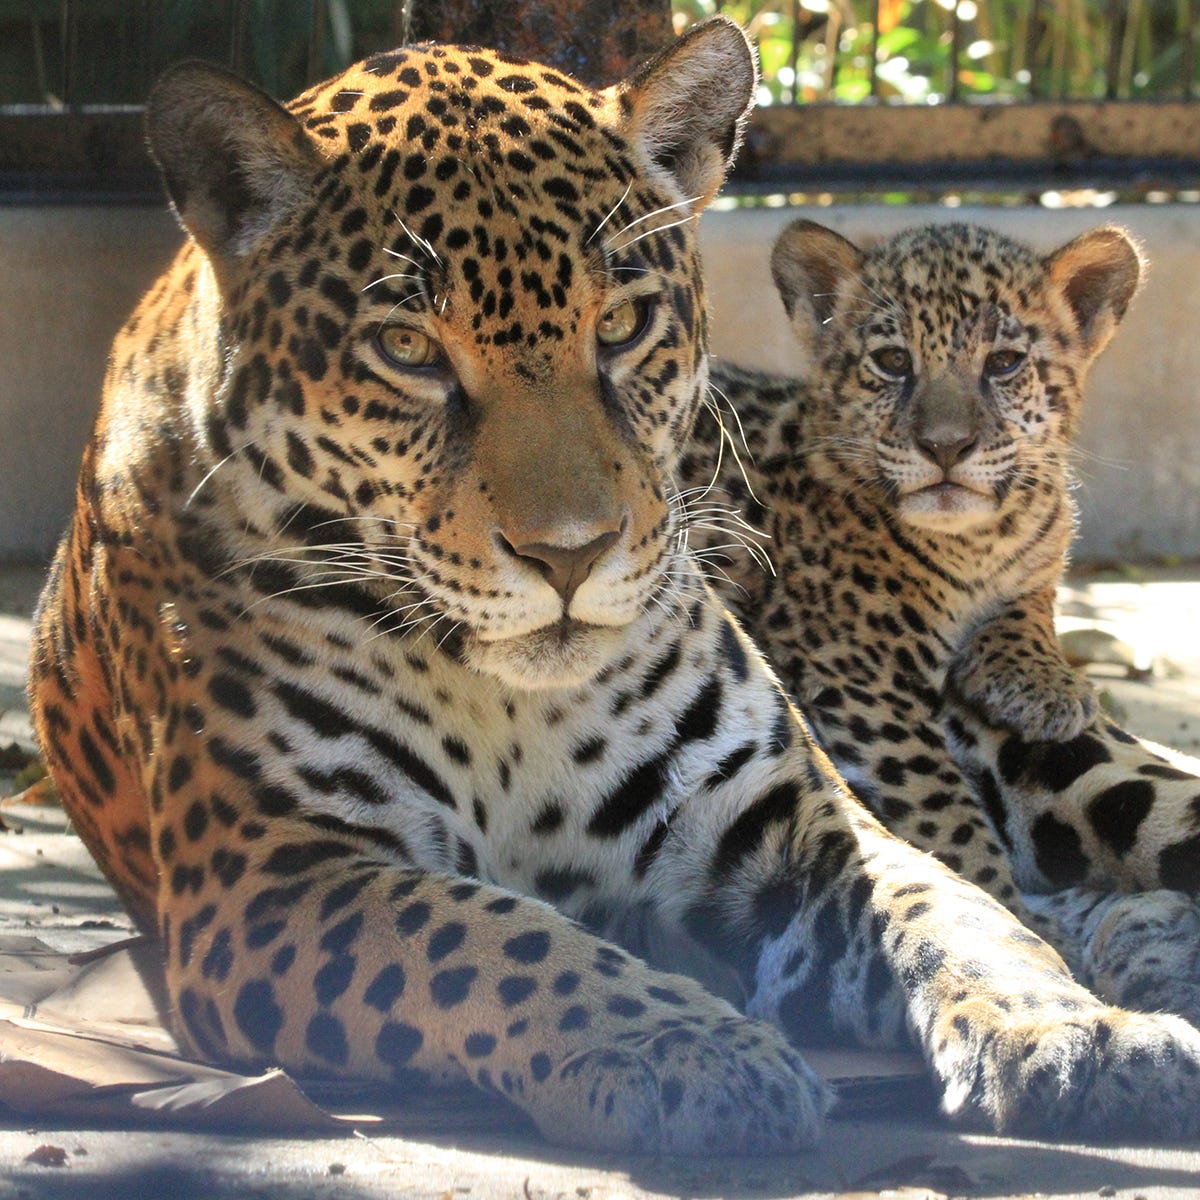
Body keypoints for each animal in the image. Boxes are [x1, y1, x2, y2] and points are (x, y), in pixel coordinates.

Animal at [685, 217, 1200, 1024]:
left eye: (1005, 363)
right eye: (893, 362)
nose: (946, 447)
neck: (975, 544)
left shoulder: (1034, 550)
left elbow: (1035, 589)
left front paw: (1044, 687)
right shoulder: (862, 681)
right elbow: (942, 812)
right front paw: (1013, 914)